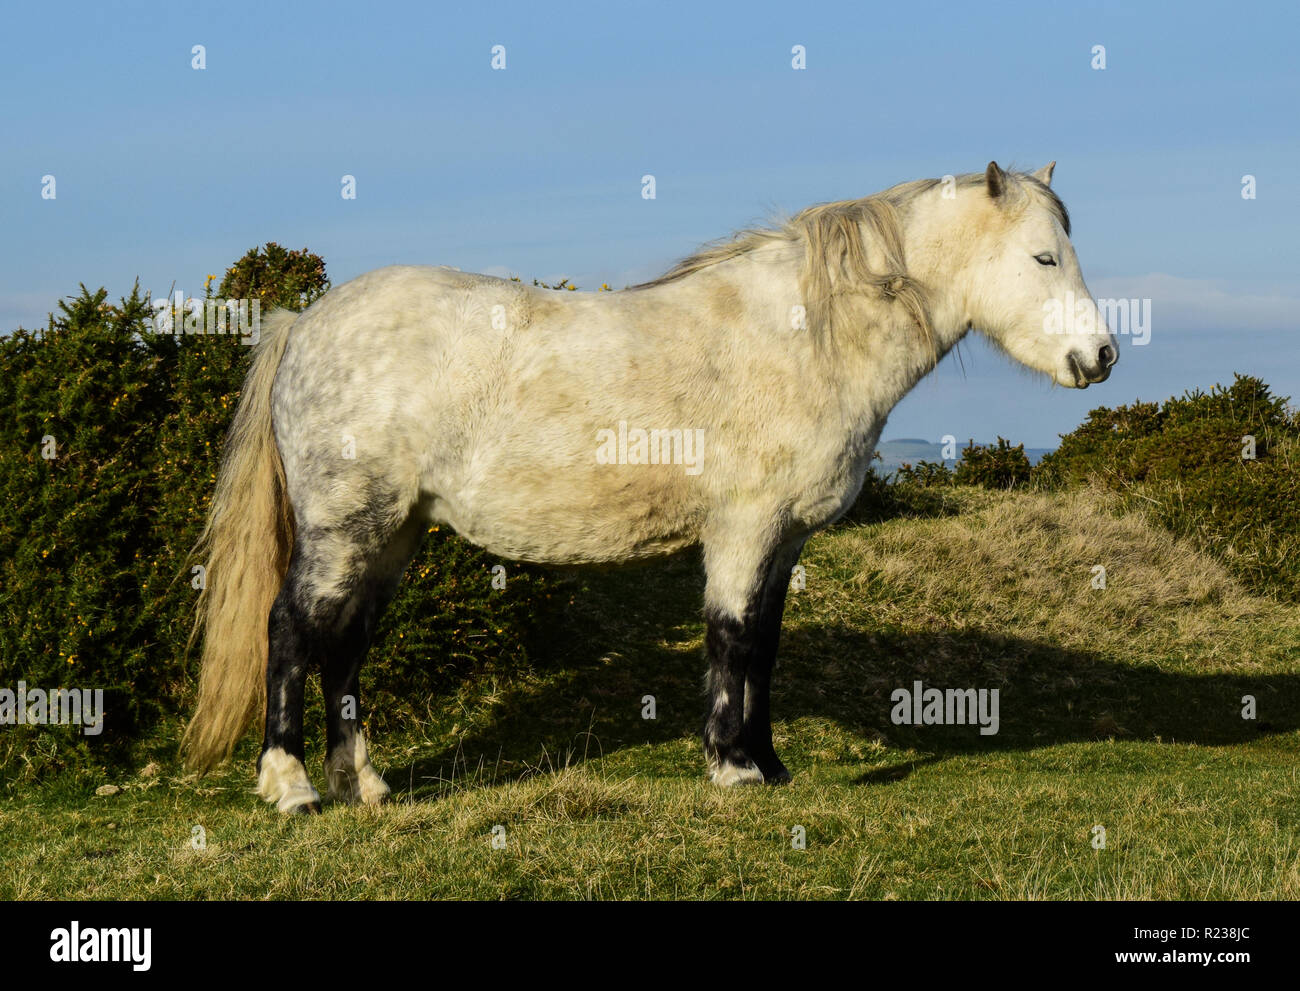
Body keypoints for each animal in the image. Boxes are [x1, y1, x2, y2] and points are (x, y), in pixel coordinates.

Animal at [182, 161, 1118, 812]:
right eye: (1043, 256)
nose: (1102, 356)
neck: (804, 334)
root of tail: (303, 322)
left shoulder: (784, 539)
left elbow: (764, 647)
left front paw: (769, 762)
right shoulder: (743, 529)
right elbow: (732, 639)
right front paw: (733, 767)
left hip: (393, 531)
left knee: (345, 642)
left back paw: (365, 785)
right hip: (346, 524)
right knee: (292, 630)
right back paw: (293, 784)